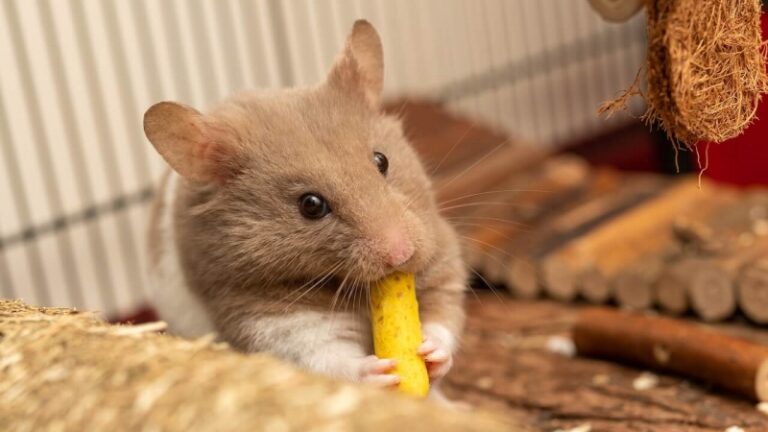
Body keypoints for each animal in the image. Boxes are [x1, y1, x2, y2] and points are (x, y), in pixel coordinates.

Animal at [144, 20, 467, 392]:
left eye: (381, 161)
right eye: (311, 205)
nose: (401, 255)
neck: (345, 284)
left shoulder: (442, 259)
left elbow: (443, 316)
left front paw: (430, 353)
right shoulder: (271, 320)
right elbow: (326, 356)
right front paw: (381, 372)